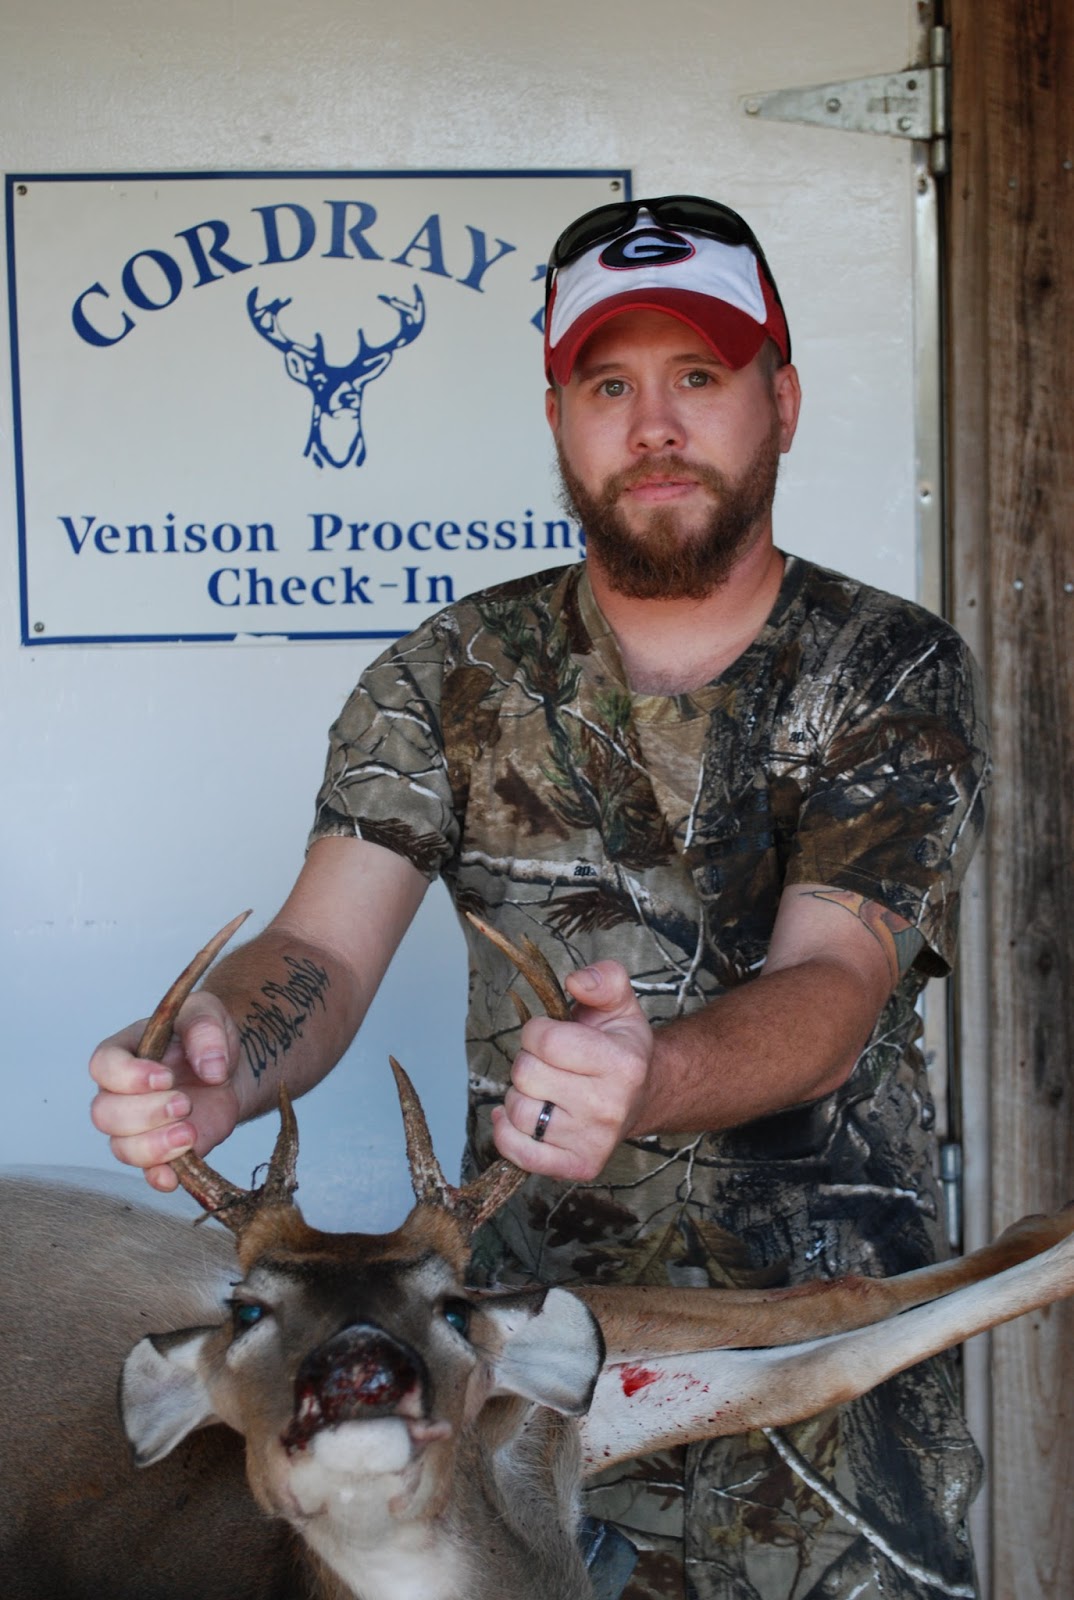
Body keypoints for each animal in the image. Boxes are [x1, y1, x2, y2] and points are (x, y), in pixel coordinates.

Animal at [3, 914, 1074, 1600]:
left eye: (450, 1304)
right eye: (247, 1309)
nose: (356, 1373)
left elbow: (822, 1327)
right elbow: (814, 1364)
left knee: (827, 1303)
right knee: (820, 1339)